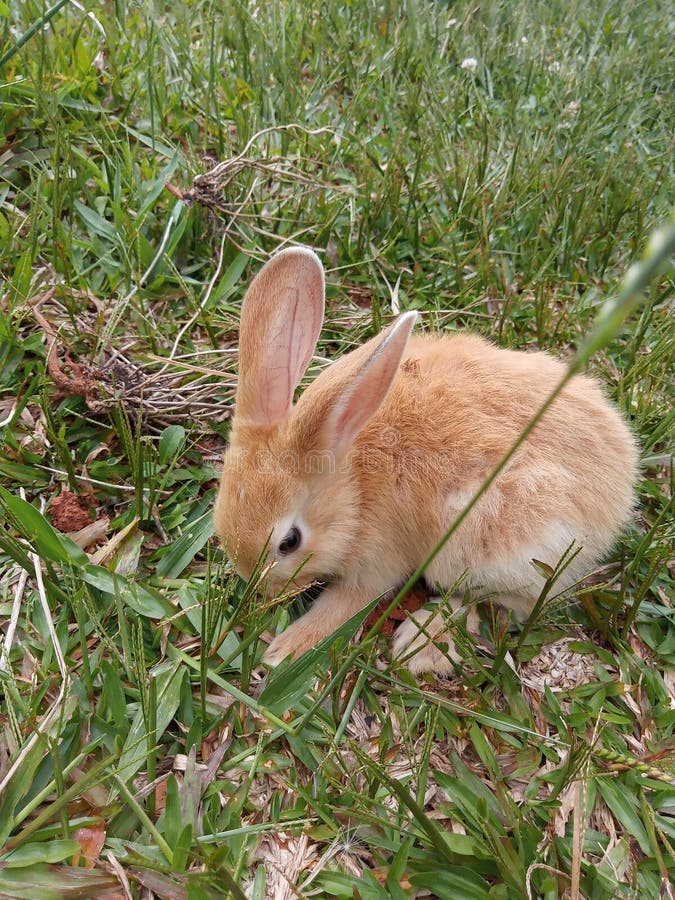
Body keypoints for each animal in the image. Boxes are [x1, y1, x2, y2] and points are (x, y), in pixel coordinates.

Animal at [214, 247, 638, 674]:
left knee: (490, 602)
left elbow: (347, 602)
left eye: (289, 542)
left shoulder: (376, 561)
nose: (260, 586)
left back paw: (422, 643)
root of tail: (621, 488)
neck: (353, 488)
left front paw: (285, 651)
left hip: (494, 546)